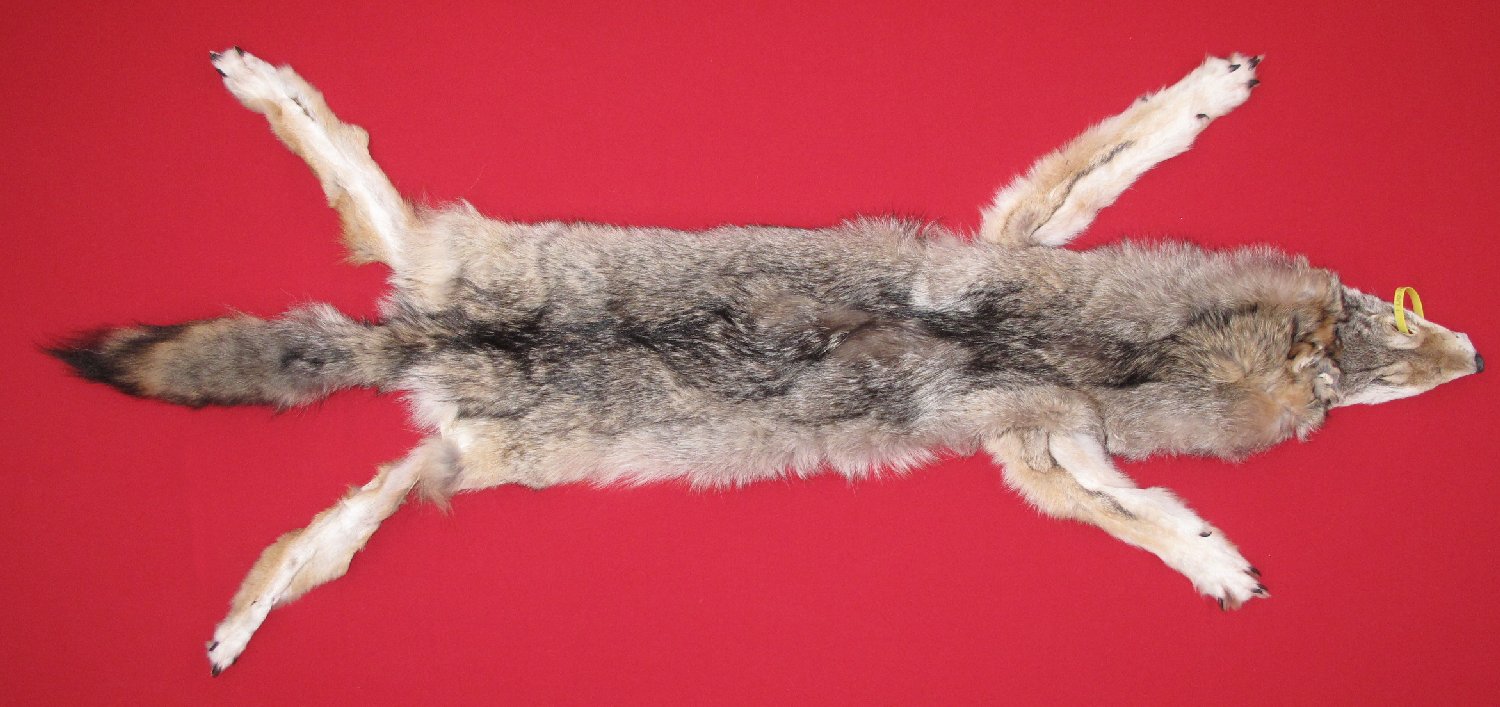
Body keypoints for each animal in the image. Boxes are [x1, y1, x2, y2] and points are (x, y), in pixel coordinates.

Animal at [48, 49, 1481, 675]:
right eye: (1380, 355)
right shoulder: (1039, 410)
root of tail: (417, 337)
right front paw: (1214, 559)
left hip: (444, 406)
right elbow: (1117, 150)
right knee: (316, 537)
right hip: (448, 403)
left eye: (1387, 318)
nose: (1473, 353)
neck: (1097, 338)